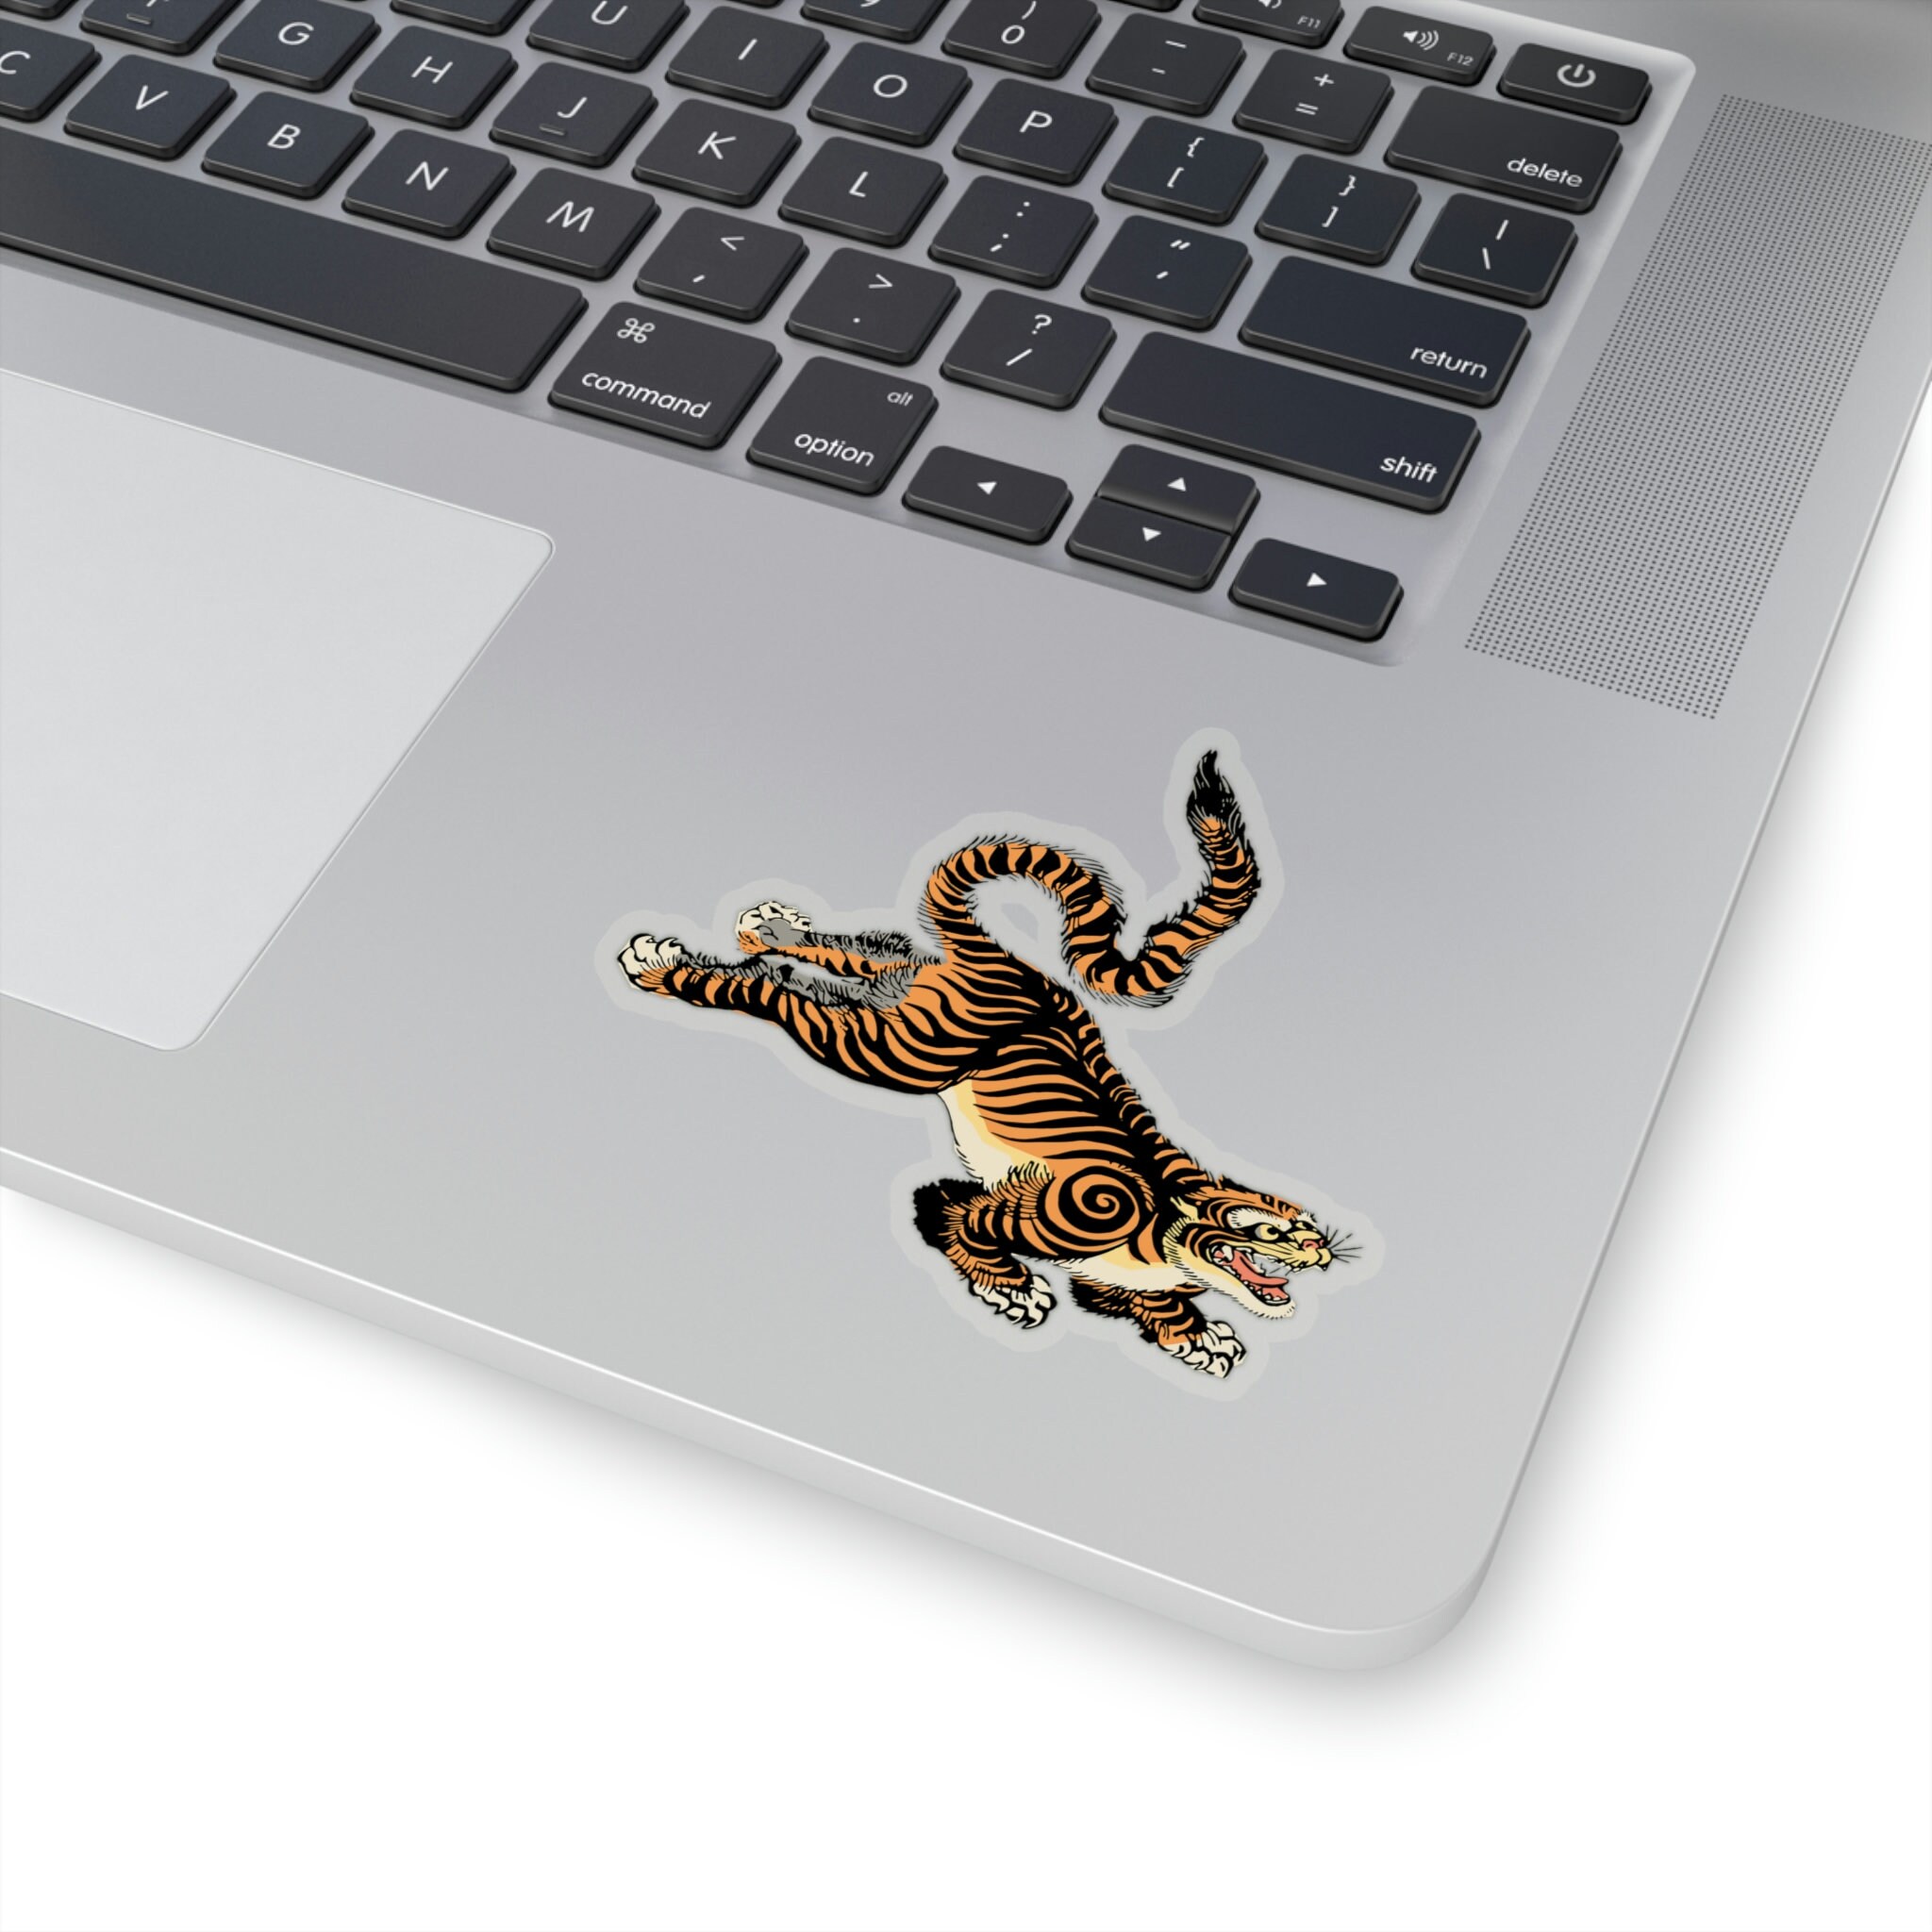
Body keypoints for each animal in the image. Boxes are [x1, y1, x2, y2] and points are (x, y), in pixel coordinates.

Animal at [617, 751, 1353, 1378]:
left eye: (1313, 1229)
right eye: (1271, 1230)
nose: (1322, 1253)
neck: (1161, 1232)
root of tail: (1007, 963)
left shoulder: (1118, 1277)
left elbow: (1152, 1300)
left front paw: (1197, 1338)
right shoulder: (1014, 1206)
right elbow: (956, 1220)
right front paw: (1014, 1292)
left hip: (900, 989)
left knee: (854, 954)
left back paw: (769, 926)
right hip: (896, 1052)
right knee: (770, 995)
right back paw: (658, 964)